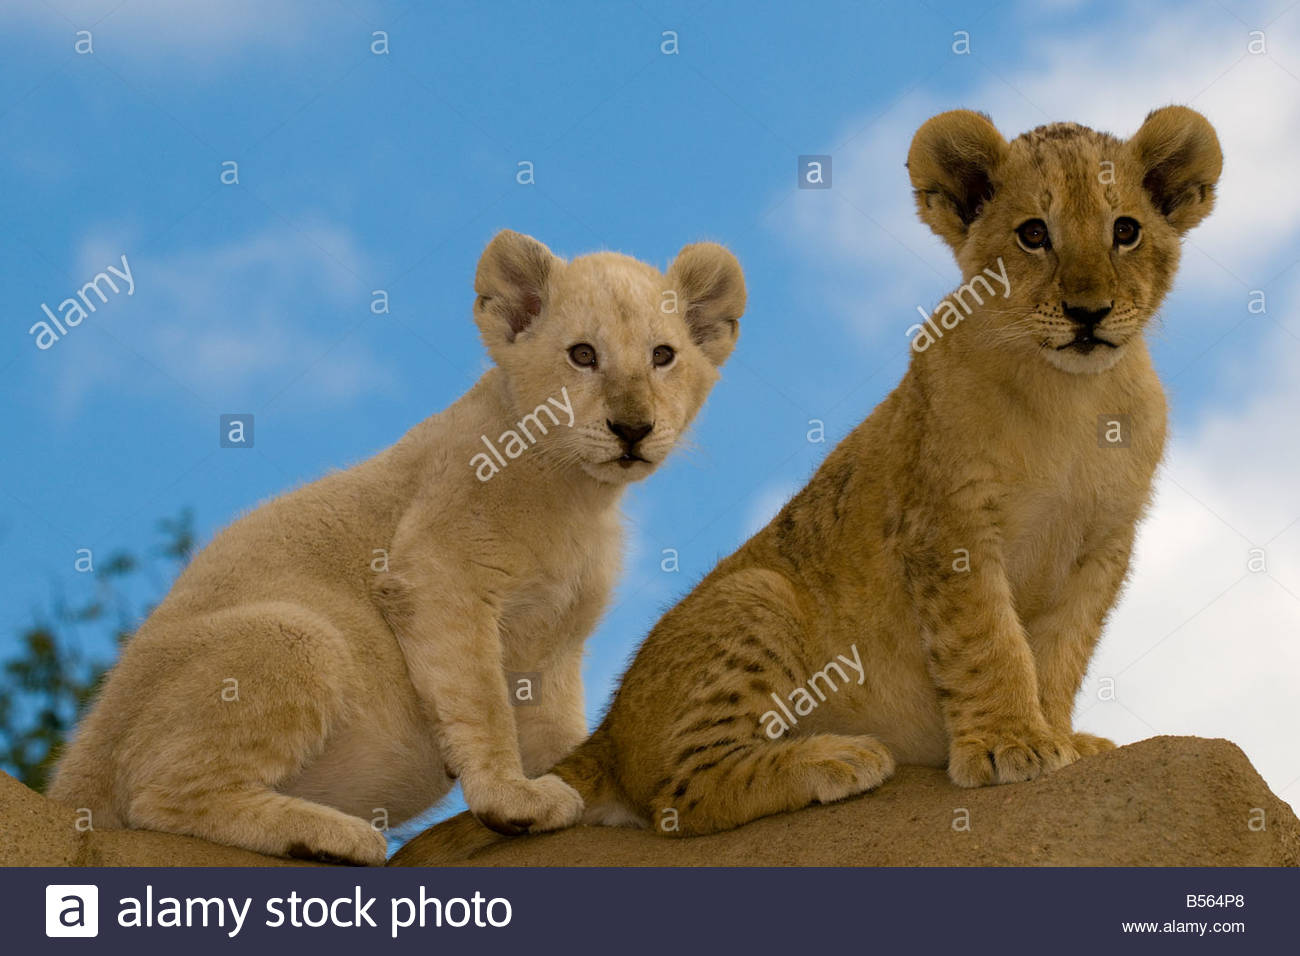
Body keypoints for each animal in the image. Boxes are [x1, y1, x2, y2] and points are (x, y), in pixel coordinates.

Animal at [48, 229, 747, 864]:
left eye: (663, 355)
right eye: (582, 354)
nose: (632, 428)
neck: (577, 493)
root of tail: (73, 771)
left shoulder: (554, 641)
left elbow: (557, 725)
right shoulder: (435, 572)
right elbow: (482, 700)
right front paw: (512, 799)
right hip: (292, 633)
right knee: (159, 797)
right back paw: (331, 837)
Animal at [391, 106, 1222, 863]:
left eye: (1125, 230)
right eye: (1033, 235)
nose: (1088, 313)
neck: (1074, 399)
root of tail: (608, 730)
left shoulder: (1103, 547)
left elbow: (1060, 655)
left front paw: (1054, 734)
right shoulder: (947, 529)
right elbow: (990, 639)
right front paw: (1006, 743)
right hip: (758, 595)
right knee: (682, 794)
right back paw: (836, 756)